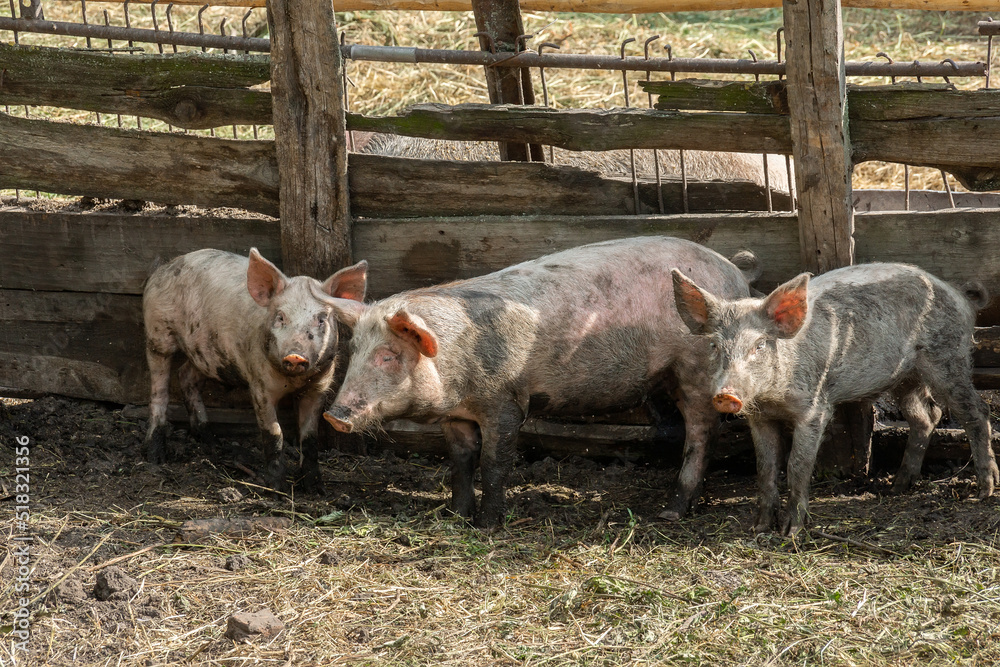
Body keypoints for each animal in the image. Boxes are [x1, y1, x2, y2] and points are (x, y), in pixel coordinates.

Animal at [142, 248, 368, 493]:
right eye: (280, 317)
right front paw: (276, 490)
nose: (295, 355)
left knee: (185, 377)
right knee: (159, 392)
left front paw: (316, 489)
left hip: (204, 353)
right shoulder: (259, 385)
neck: (294, 380)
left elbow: (309, 437)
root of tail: (164, 268)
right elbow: (274, 433)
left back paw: (211, 442)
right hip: (157, 335)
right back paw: (156, 458)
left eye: (321, 319)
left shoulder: (318, 387)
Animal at [313, 236, 757, 527]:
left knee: (703, 433)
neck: (456, 360)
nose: (335, 416)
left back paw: (670, 512)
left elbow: (494, 462)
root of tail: (734, 272)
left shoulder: (505, 402)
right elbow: (460, 461)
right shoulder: (455, 416)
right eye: (354, 352)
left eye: (388, 355)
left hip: (695, 370)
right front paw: (455, 516)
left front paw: (487, 526)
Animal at [671, 263, 1000, 536]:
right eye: (715, 345)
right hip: (906, 377)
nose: (726, 395)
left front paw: (790, 533)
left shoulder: (814, 409)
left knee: (976, 412)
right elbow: (765, 468)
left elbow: (797, 464)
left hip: (948, 359)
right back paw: (898, 487)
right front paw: (759, 529)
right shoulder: (759, 417)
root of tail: (962, 298)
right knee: (927, 415)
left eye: (760, 345)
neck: (773, 398)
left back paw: (984, 491)